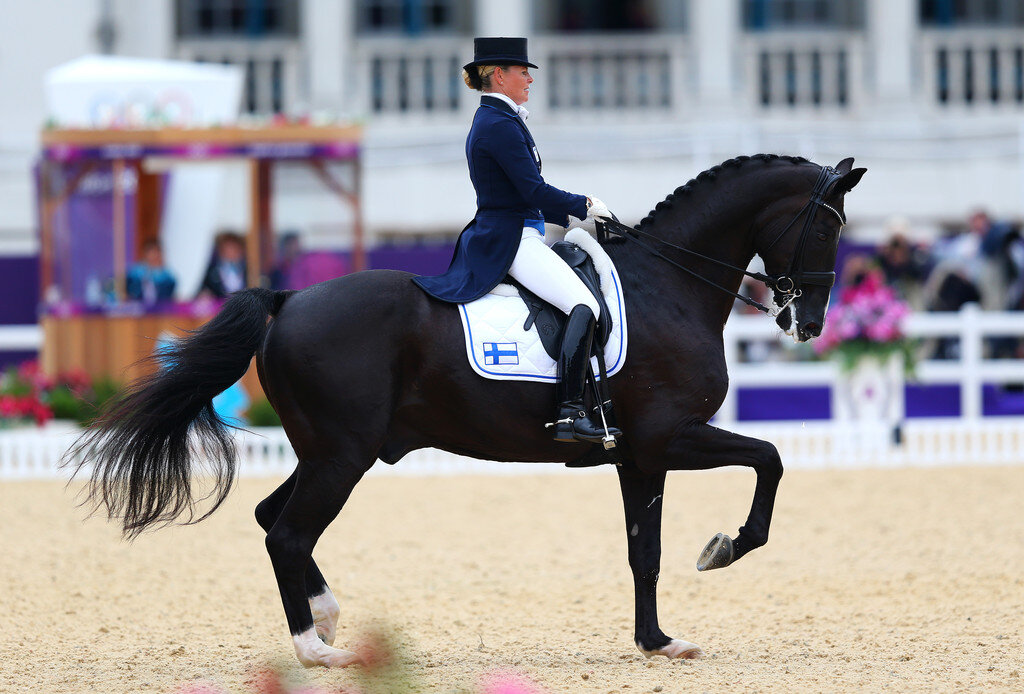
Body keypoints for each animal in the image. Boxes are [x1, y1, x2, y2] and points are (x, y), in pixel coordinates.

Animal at [68, 154, 860, 667]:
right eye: (827, 228)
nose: (809, 322)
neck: (668, 285)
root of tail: (288, 300)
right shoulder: (671, 437)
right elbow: (771, 459)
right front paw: (726, 546)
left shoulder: (638, 454)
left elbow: (646, 552)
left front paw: (658, 642)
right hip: (342, 456)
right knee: (287, 533)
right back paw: (317, 652)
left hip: (328, 450)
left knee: (272, 519)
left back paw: (325, 620)